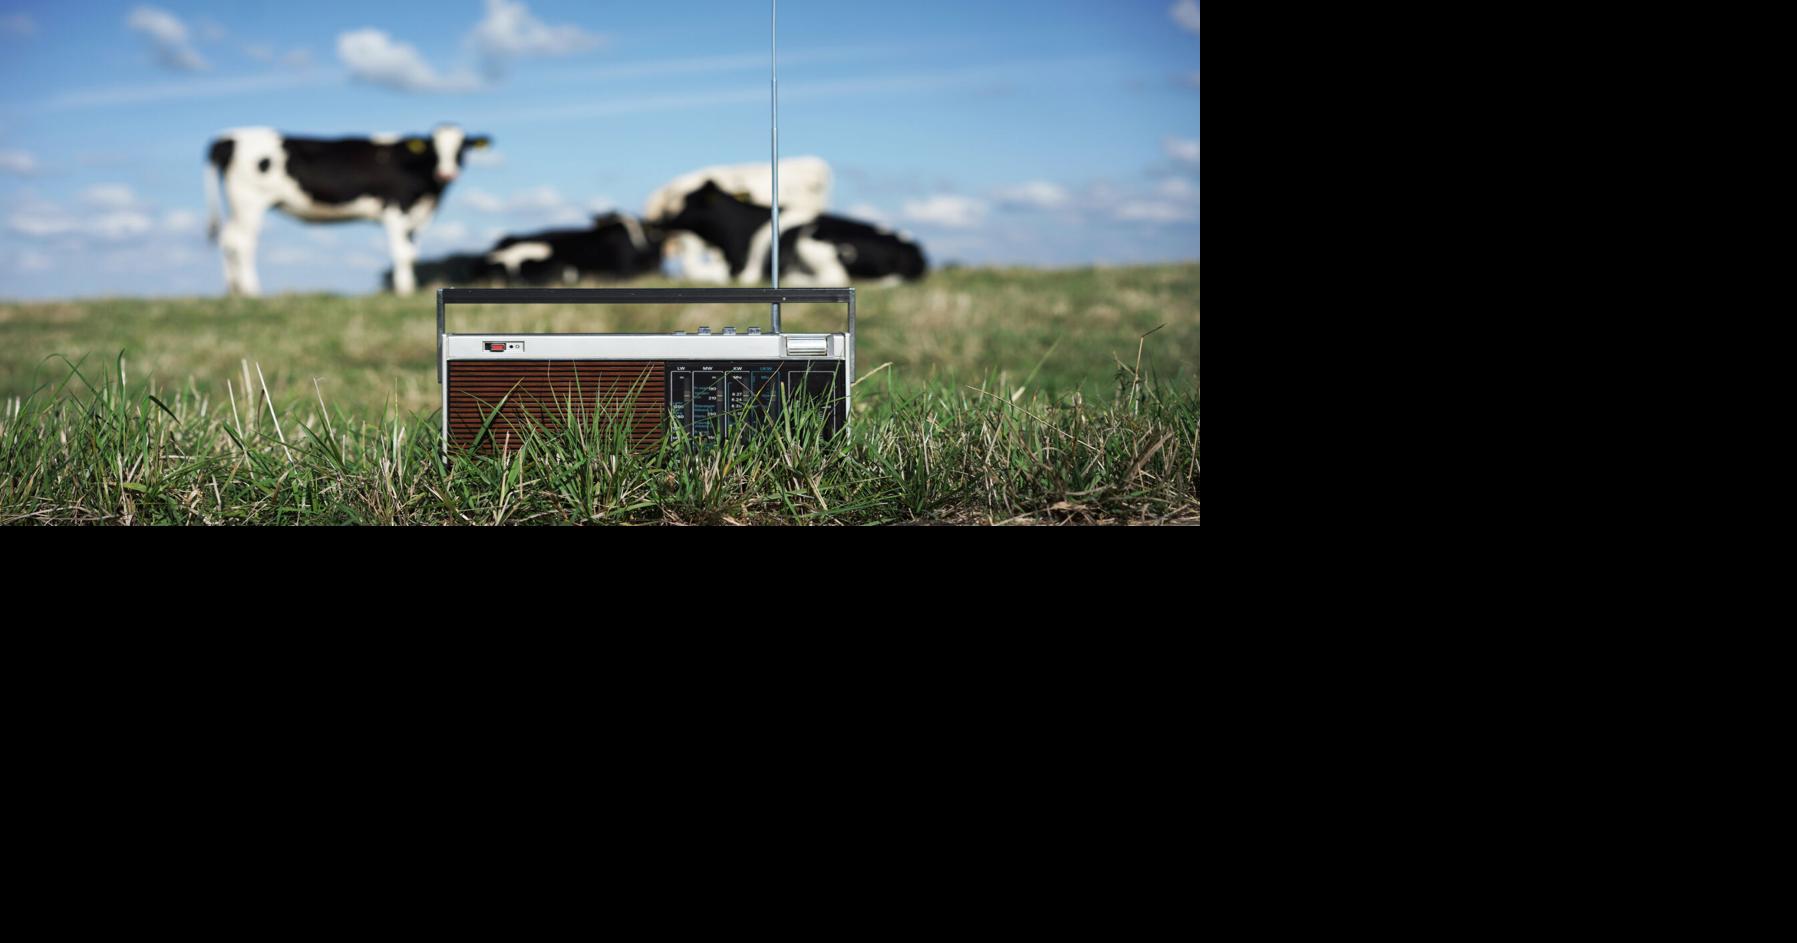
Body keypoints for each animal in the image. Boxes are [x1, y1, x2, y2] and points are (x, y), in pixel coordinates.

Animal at [204, 123, 491, 297]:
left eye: (462, 148)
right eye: (433, 148)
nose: (447, 173)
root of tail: (227, 138)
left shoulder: (415, 217)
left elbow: (412, 255)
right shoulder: (395, 210)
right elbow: (402, 254)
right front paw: (404, 291)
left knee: (228, 239)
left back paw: (233, 292)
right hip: (250, 201)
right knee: (242, 243)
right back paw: (252, 291)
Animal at [654, 180, 927, 286]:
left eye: (683, 202)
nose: (656, 221)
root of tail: (913, 249)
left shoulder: (742, 272)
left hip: (813, 240)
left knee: (835, 278)